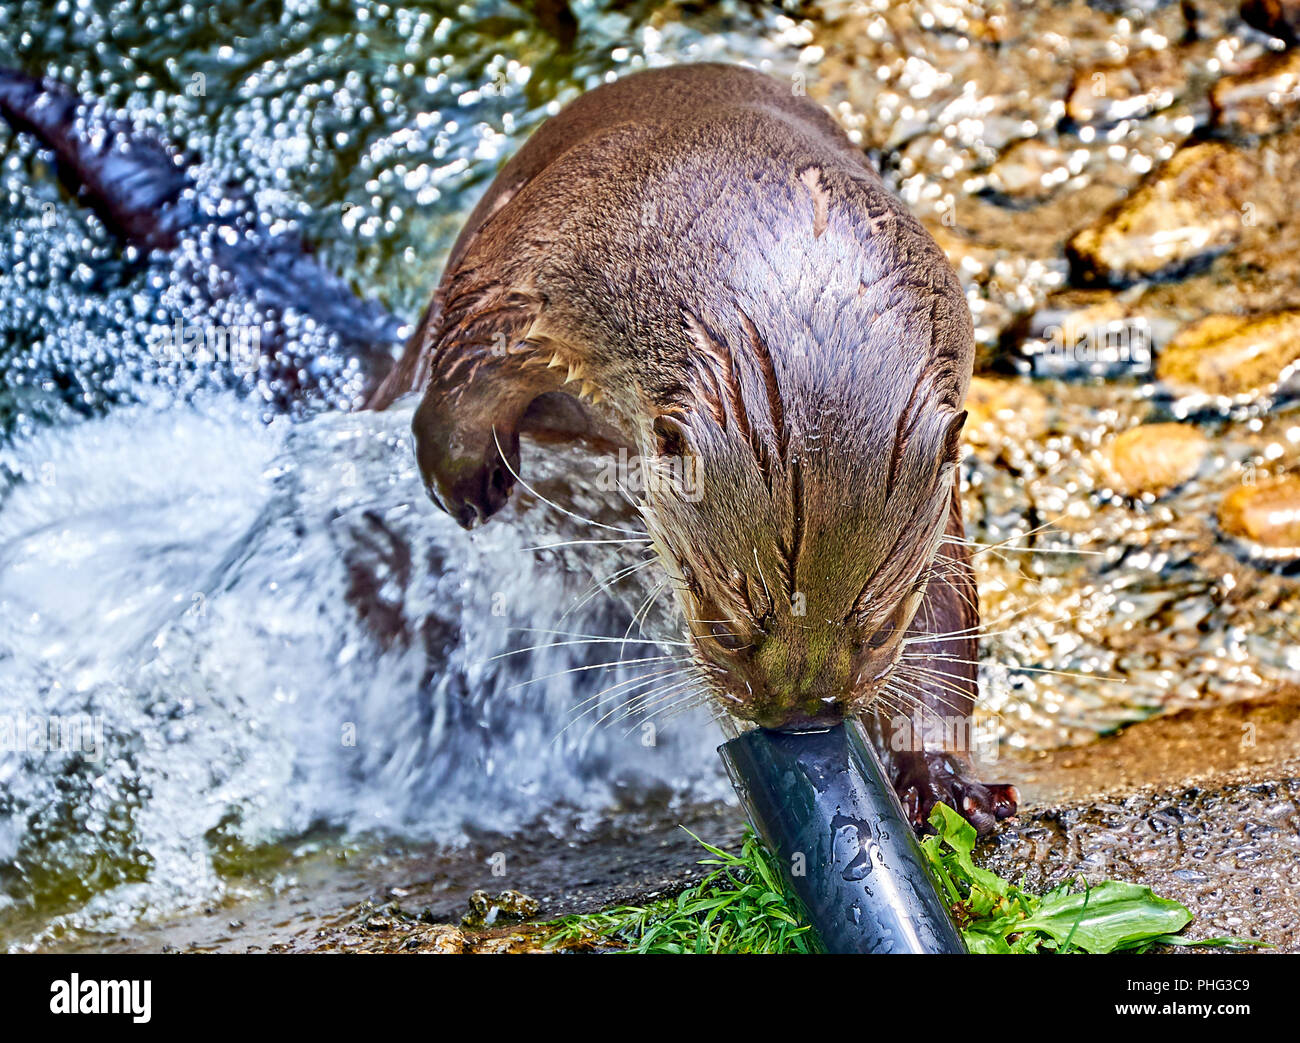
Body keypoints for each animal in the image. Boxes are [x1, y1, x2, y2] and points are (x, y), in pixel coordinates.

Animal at [370, 63, 1018, 834]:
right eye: (721, 627)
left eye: (884, 627)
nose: (800, 717)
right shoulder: (530, 267)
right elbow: (468, 355)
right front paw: (466, 479)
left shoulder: (937, 516)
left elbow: (948, 621)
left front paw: (945, 782)